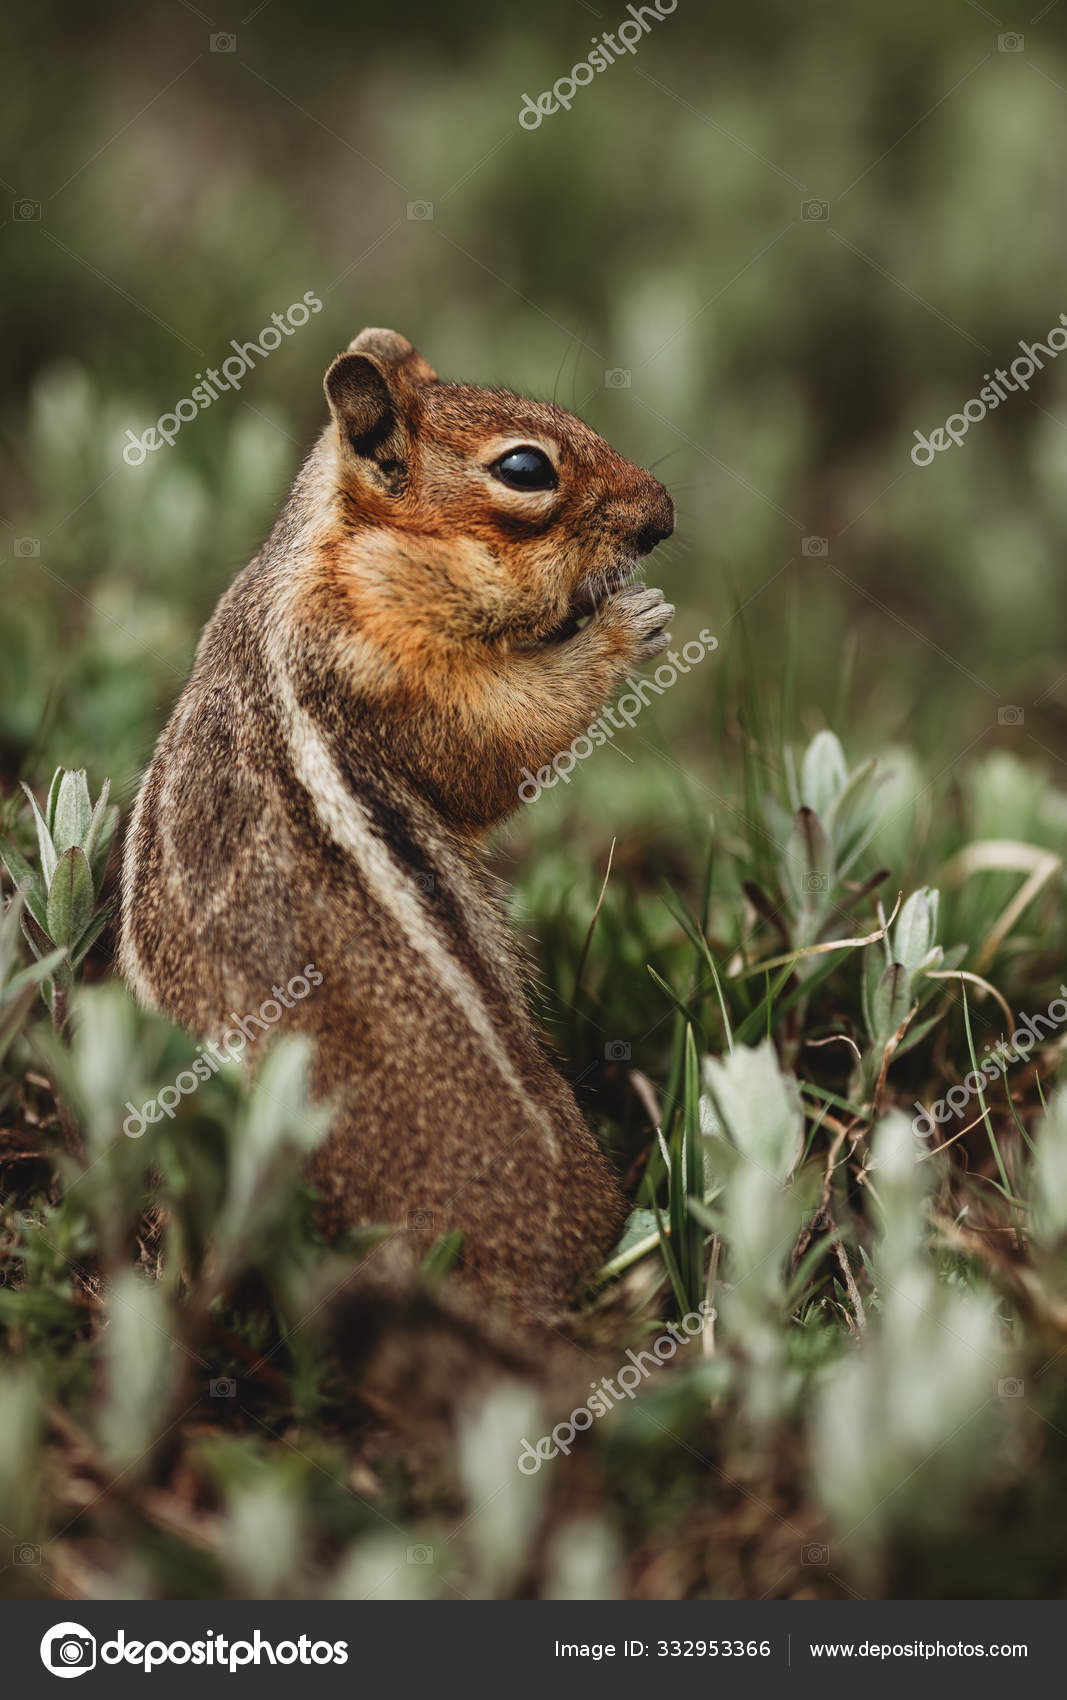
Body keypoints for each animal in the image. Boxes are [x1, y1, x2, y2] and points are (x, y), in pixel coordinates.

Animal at [119, 327, 675, 1316]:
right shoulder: (389, 665)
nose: (666, 514)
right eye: (525, 468)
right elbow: (502, 743)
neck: (349, 557)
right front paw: (625, 626)